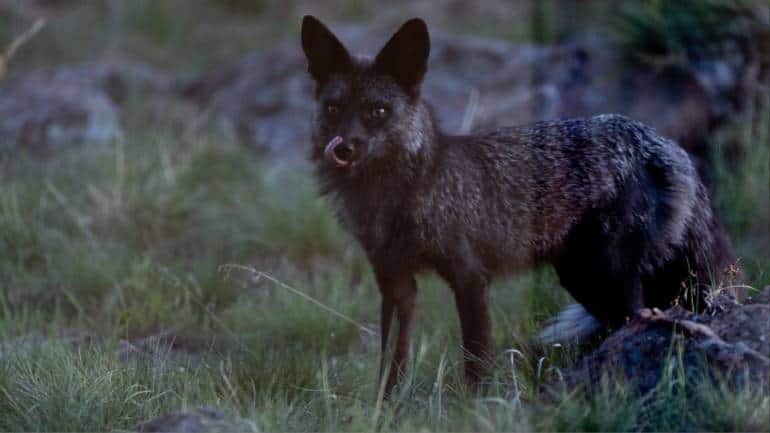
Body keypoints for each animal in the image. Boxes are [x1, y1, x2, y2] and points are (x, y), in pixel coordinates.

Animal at [300, 16, 740, 393]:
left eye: (377, 111)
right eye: (334, 109)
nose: (343, 149)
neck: (405, 191)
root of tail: (665, 144)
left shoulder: (470, 277)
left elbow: (476, 360)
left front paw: (473, 410)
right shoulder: (395, 282)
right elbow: (392, 363)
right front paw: (385, 409)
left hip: (609, 274)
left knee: (635, 320)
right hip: (584, 278)